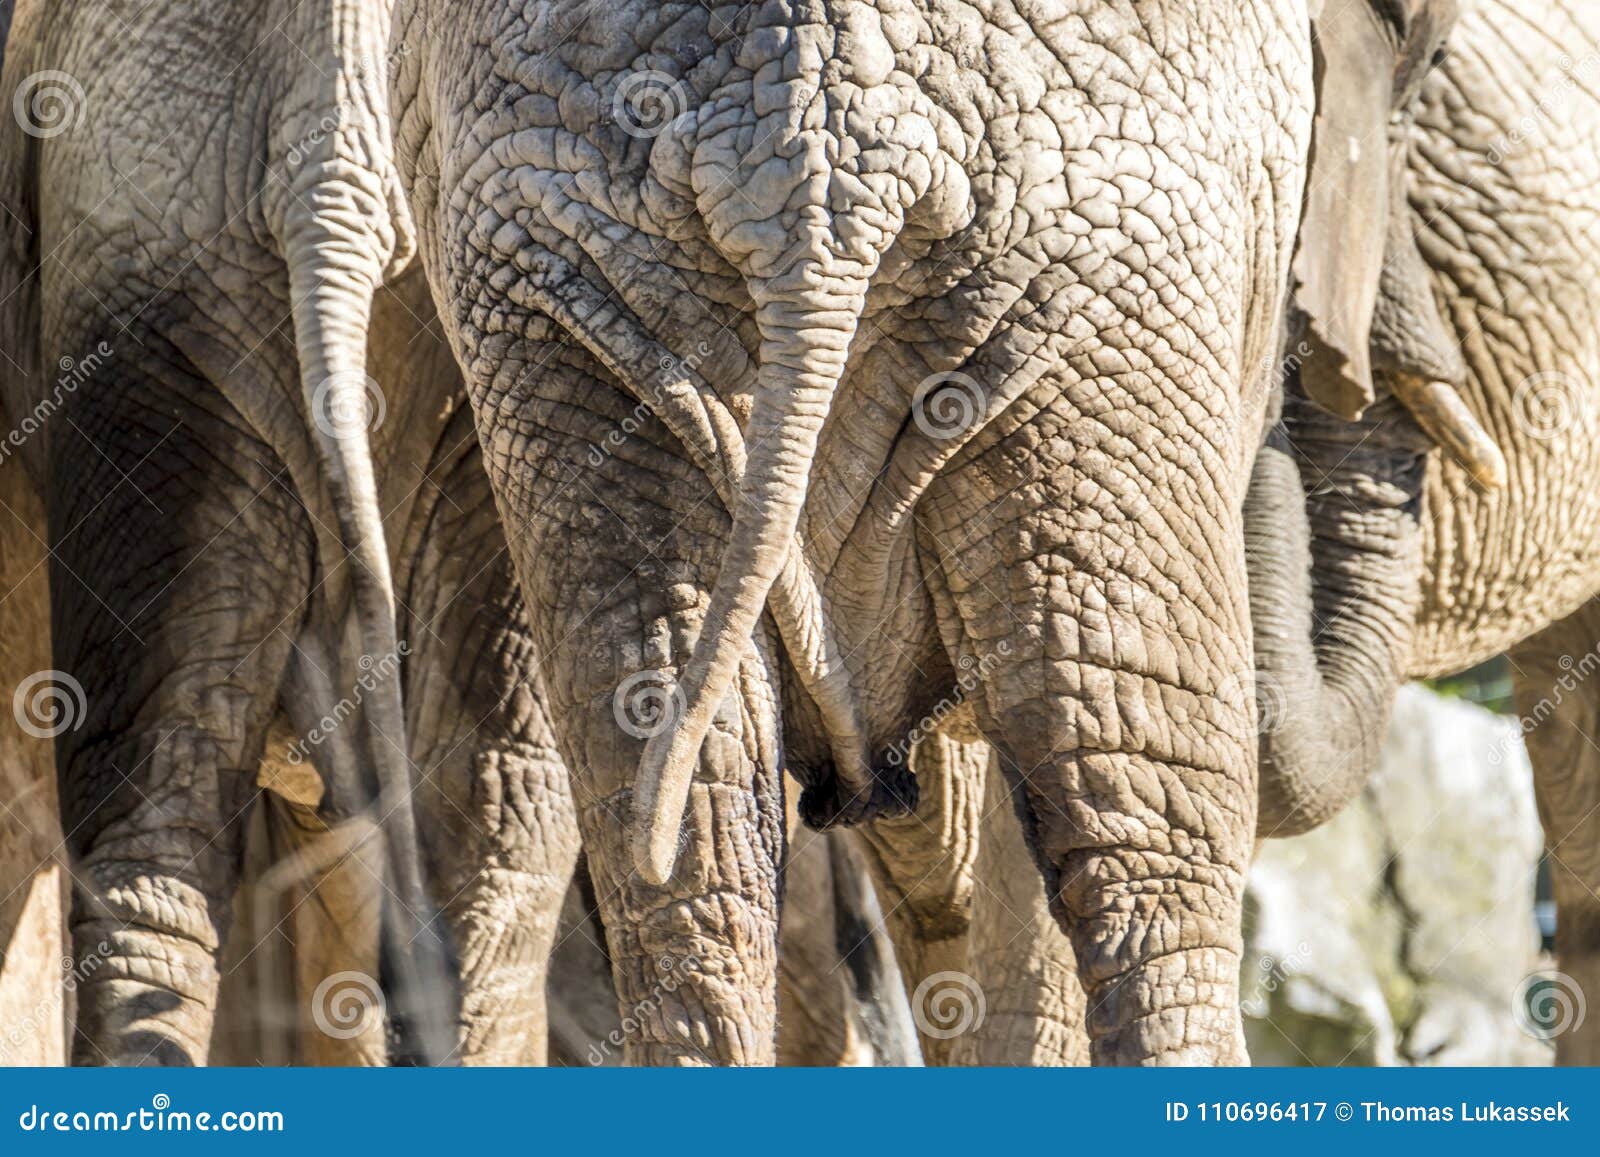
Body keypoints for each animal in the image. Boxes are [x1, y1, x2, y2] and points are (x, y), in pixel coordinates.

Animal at [389, 0, 1477, 1064]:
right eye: (1418, 58)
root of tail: (806, 158)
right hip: (1104, 258)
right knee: (1133, 796)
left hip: (554, 274)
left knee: (679, 808)